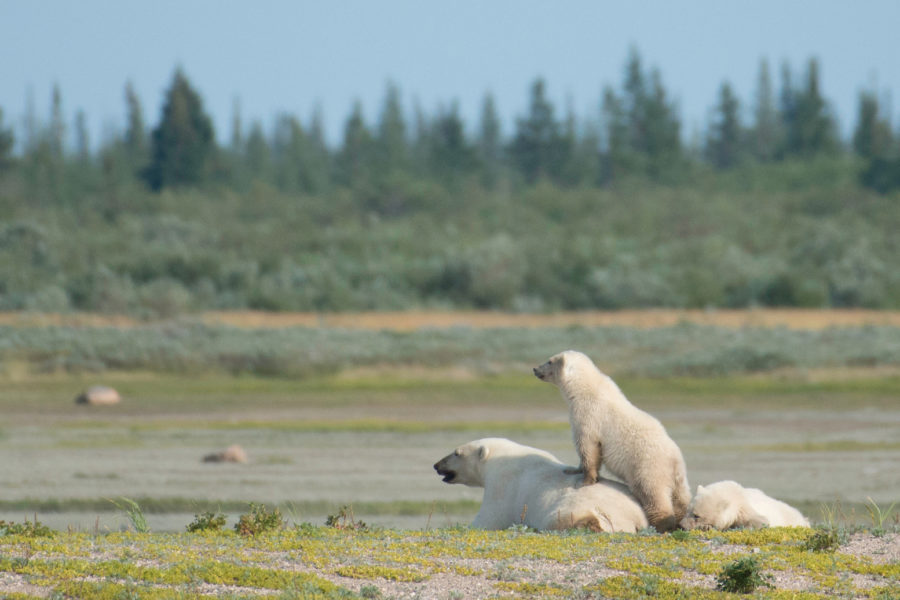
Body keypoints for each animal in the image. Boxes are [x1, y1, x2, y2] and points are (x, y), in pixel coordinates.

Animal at [433, 437, 648, 532]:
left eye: (456, 452)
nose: (436, 465)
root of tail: (635, 516)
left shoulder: (503, 484)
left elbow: (489, 518)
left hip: (575, 508)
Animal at [533, 350, 691, 532]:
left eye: (550, 361)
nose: (535, 369)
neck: (585, 389)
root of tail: (675, 459)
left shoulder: (588, 415)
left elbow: (588, 447)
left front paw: (585, 482)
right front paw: (572, 470)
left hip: (648, 466)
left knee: (652, 493)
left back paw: (661, 524)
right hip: (678, 476)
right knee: (680, 498)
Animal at [680, 480, 810, 530]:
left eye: (696, 515)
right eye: (687, 511)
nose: (681, 526)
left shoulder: (743, 506)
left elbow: (761, 521)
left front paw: (707, 527)